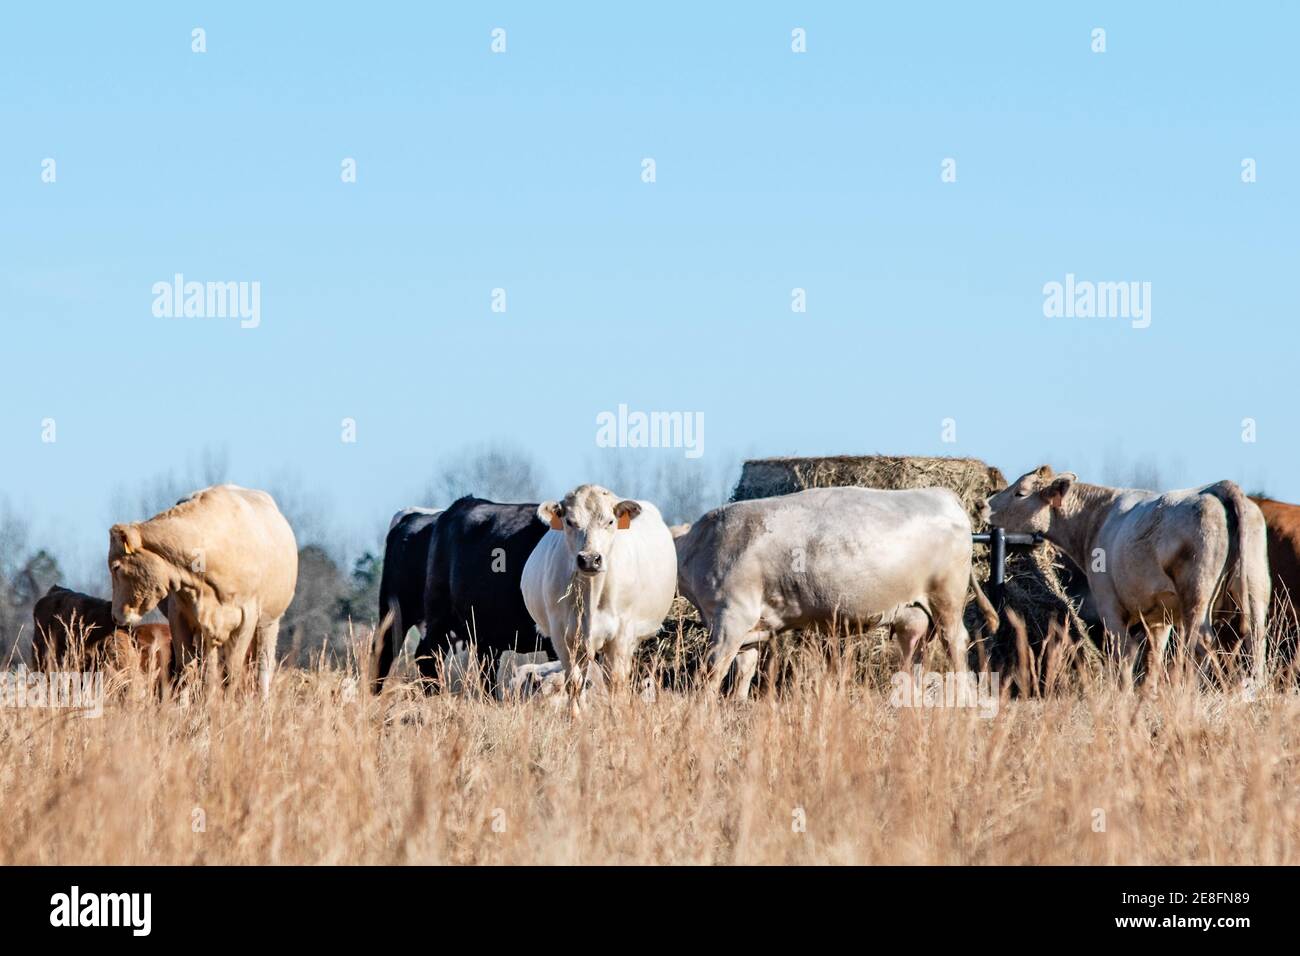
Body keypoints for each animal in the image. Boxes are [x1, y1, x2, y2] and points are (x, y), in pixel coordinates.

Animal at [108, 484, 299, 697]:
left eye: (116, 567)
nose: (115, 616)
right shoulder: (182, 615)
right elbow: (189, 671)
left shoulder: (247, 618)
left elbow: (232, 673)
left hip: (269, 621)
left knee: (263, 667)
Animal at [521, 484, 677, 712]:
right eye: (570, 521)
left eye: (610, 521)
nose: (589, 559)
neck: (591, 593)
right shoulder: (563, 636)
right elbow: (574, 682)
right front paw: (575, 716)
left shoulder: (621, 634)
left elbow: (616, 681)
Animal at [675, 487, 997, 697]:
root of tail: (942, 493)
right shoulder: (750, 627)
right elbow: (743, 671)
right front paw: (736, 707)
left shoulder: (731, 617)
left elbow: (712, 672)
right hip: (914, 613)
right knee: (916, 652)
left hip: (947, 598)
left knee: (955, 642)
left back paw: (964, 696)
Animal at [985, 467, 1269, 682]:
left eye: (1020, 493)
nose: (984, 505)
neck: (1097, 519)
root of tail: (1220, 487)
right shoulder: (1161, 616)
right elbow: (1154, 657)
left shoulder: (1109, 603)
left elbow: (1124, 653)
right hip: (1256, 588)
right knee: (1256, 640)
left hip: (1196, 593)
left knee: (1200, 642)